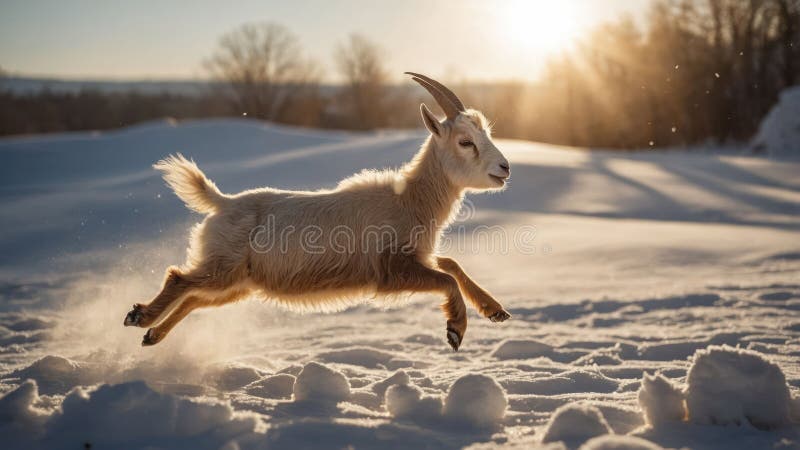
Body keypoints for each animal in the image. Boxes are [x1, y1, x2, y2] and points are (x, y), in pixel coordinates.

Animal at [124, 72, 511, 350]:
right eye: (465, 142)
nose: (504, 168)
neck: (409, 198)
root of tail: (224, 202)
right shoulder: (391, 271)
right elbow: (446, 277)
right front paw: (456, 331)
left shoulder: (418, 257)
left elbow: (450, 264)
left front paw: (495, 310)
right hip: (222, 270)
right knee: (179, 279)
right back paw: (138, 317)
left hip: (237, 284)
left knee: (193, 297)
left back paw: (152, 335)